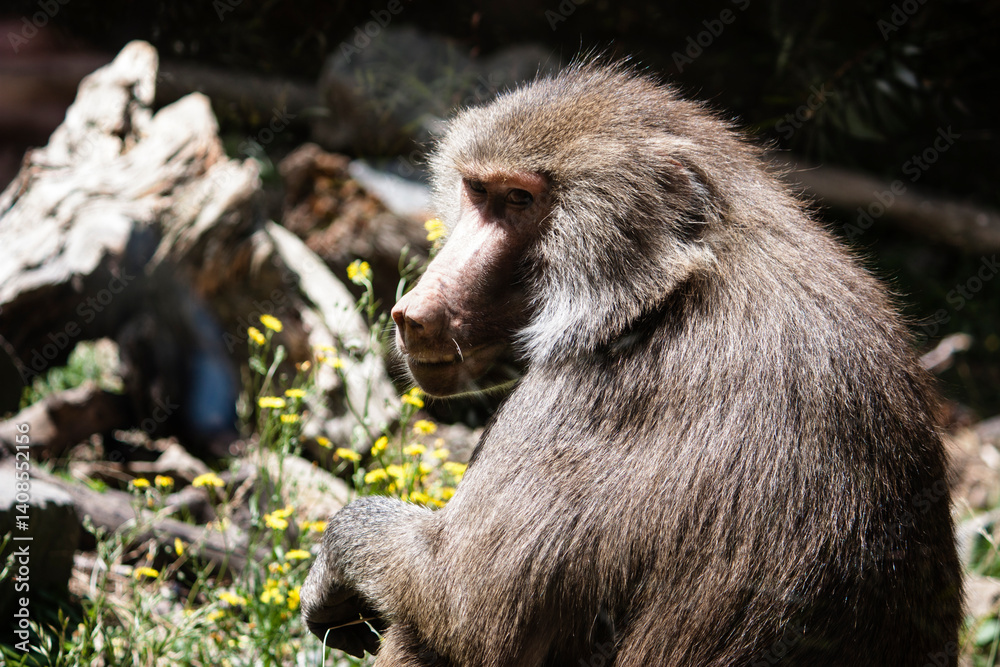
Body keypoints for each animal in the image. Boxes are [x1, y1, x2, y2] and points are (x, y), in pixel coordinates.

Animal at [301, 62, 962, 666]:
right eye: (477, 192)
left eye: (519, 199)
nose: (414, 313)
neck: (671, 283)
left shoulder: (586, 389)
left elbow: (467, 608)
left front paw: (334, 567)